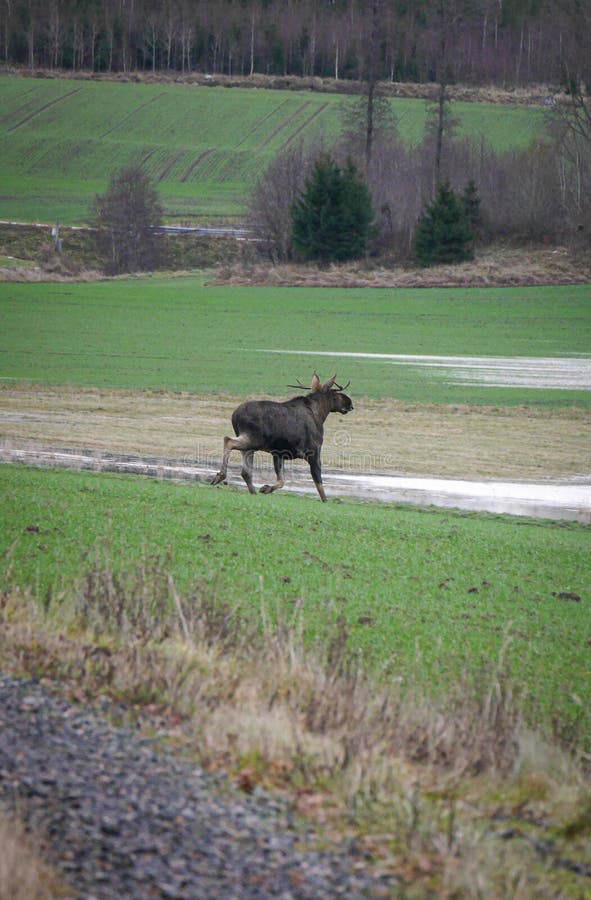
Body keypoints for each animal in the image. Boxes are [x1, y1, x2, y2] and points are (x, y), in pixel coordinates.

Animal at [211, 373, 353, 501]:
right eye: (335, 394)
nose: (350, 404)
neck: (320, 415)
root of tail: (234, 415)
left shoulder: (279, 453)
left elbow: (281, 480)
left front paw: (266, 488)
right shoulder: (314, 451)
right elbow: (319, 482)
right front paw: (325, 500)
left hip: (250, 444)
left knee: (245, 471)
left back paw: (252, 491)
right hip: (254, 440)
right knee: (228, 441)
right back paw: (220, 476)